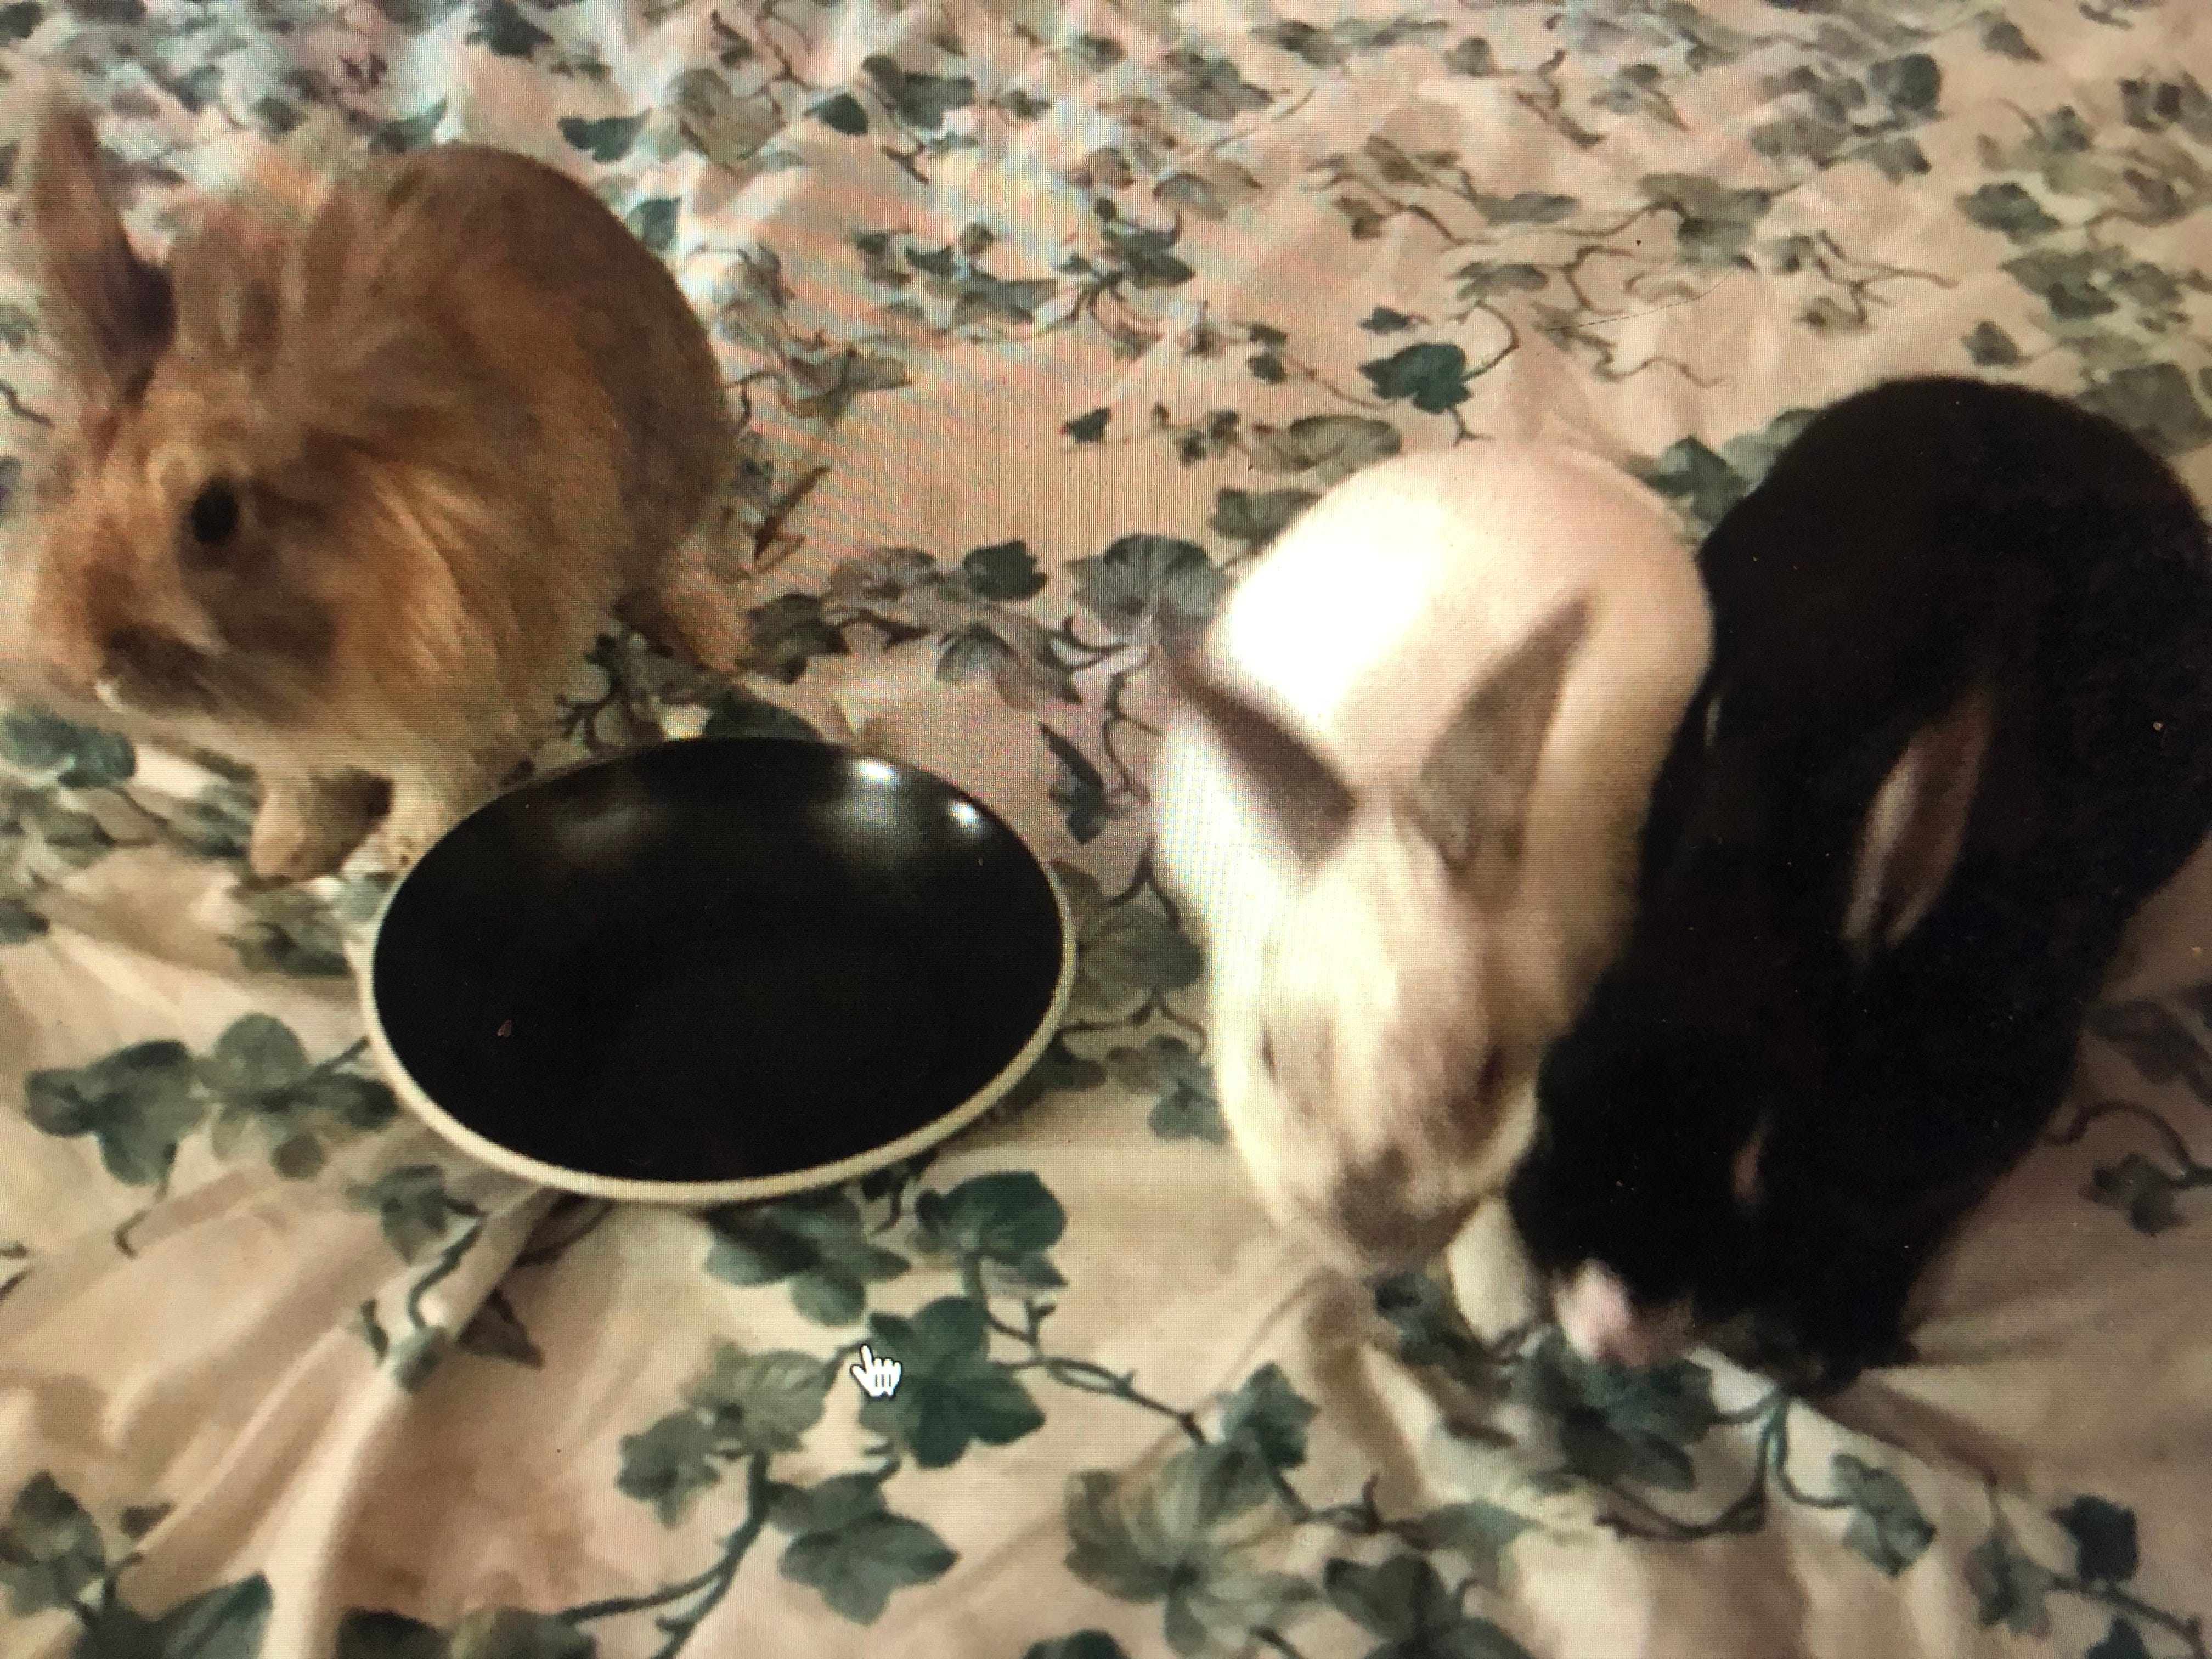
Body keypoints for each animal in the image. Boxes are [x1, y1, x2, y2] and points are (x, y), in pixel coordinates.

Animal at [0, 100, 736, 881]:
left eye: (214, 514)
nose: (81, 663)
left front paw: (405, 854)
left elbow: (434, 792)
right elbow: (307, 792)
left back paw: (714, 639)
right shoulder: (296, 753)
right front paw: (282, 856)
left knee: (682, 558)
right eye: (57, 482)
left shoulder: (464, 716)